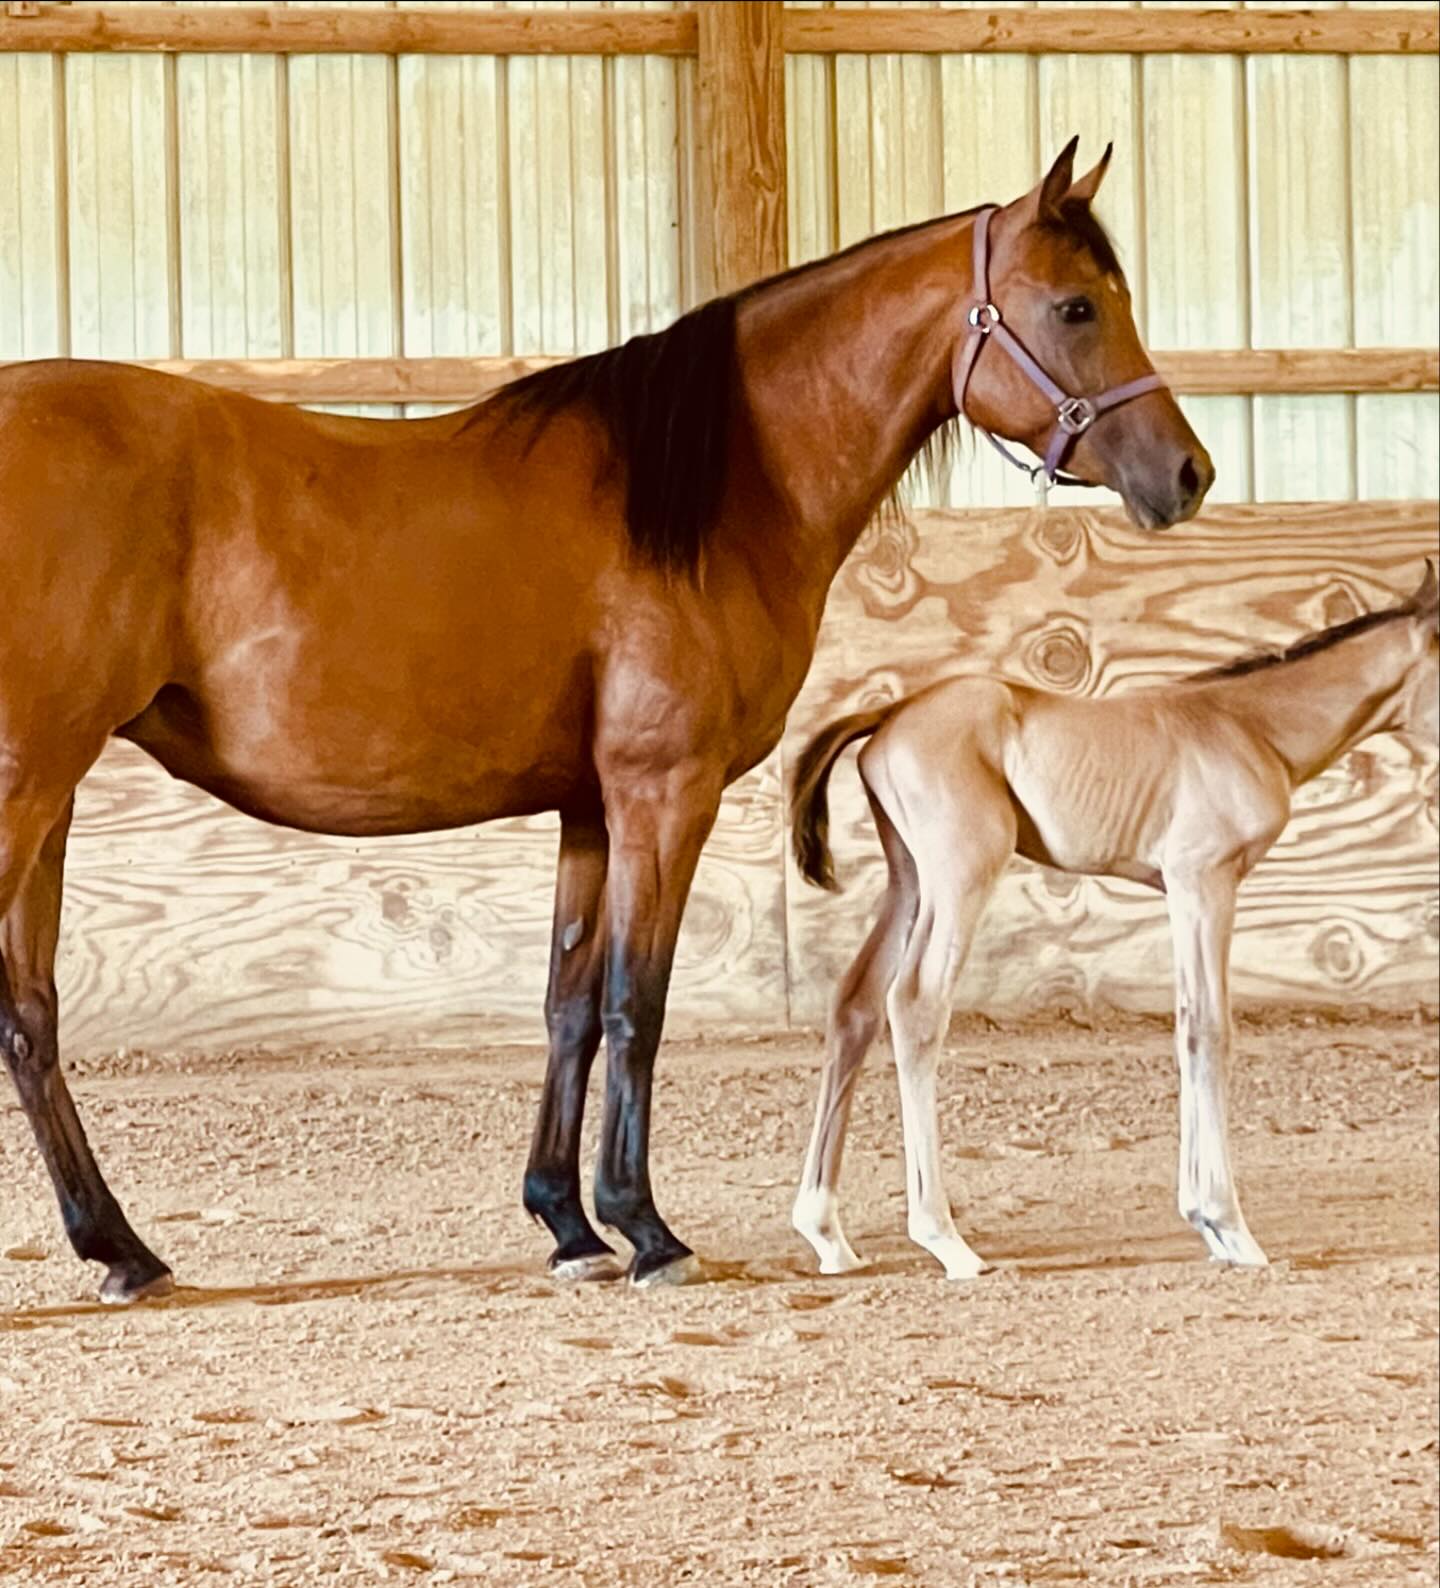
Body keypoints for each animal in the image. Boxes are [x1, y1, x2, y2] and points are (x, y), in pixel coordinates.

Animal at [0, 139, 1211, 1304]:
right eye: (1076, 307)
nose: (1188, 474)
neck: (716, 492)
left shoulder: (589, 806)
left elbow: (571, 1006)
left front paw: (569, 1226)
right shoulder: (660, 794)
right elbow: (640, 1000)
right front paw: (647, 1229)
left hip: (50, 798)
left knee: (34, 1013)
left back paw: (123, 1249)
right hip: (29, 789)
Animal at [789, 563, 1439, 1280]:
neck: (1250, 727)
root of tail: (888, 714)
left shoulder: (1185, 891)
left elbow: (1187, 1024)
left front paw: (1207, 1223)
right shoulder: (1203, 881)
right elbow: (1208, 1028)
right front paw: (1227, 1226)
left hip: (909, 881)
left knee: (856, 1003)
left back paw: (827, 1234)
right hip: (961, 875)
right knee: (916, 1001)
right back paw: (945, 1239)